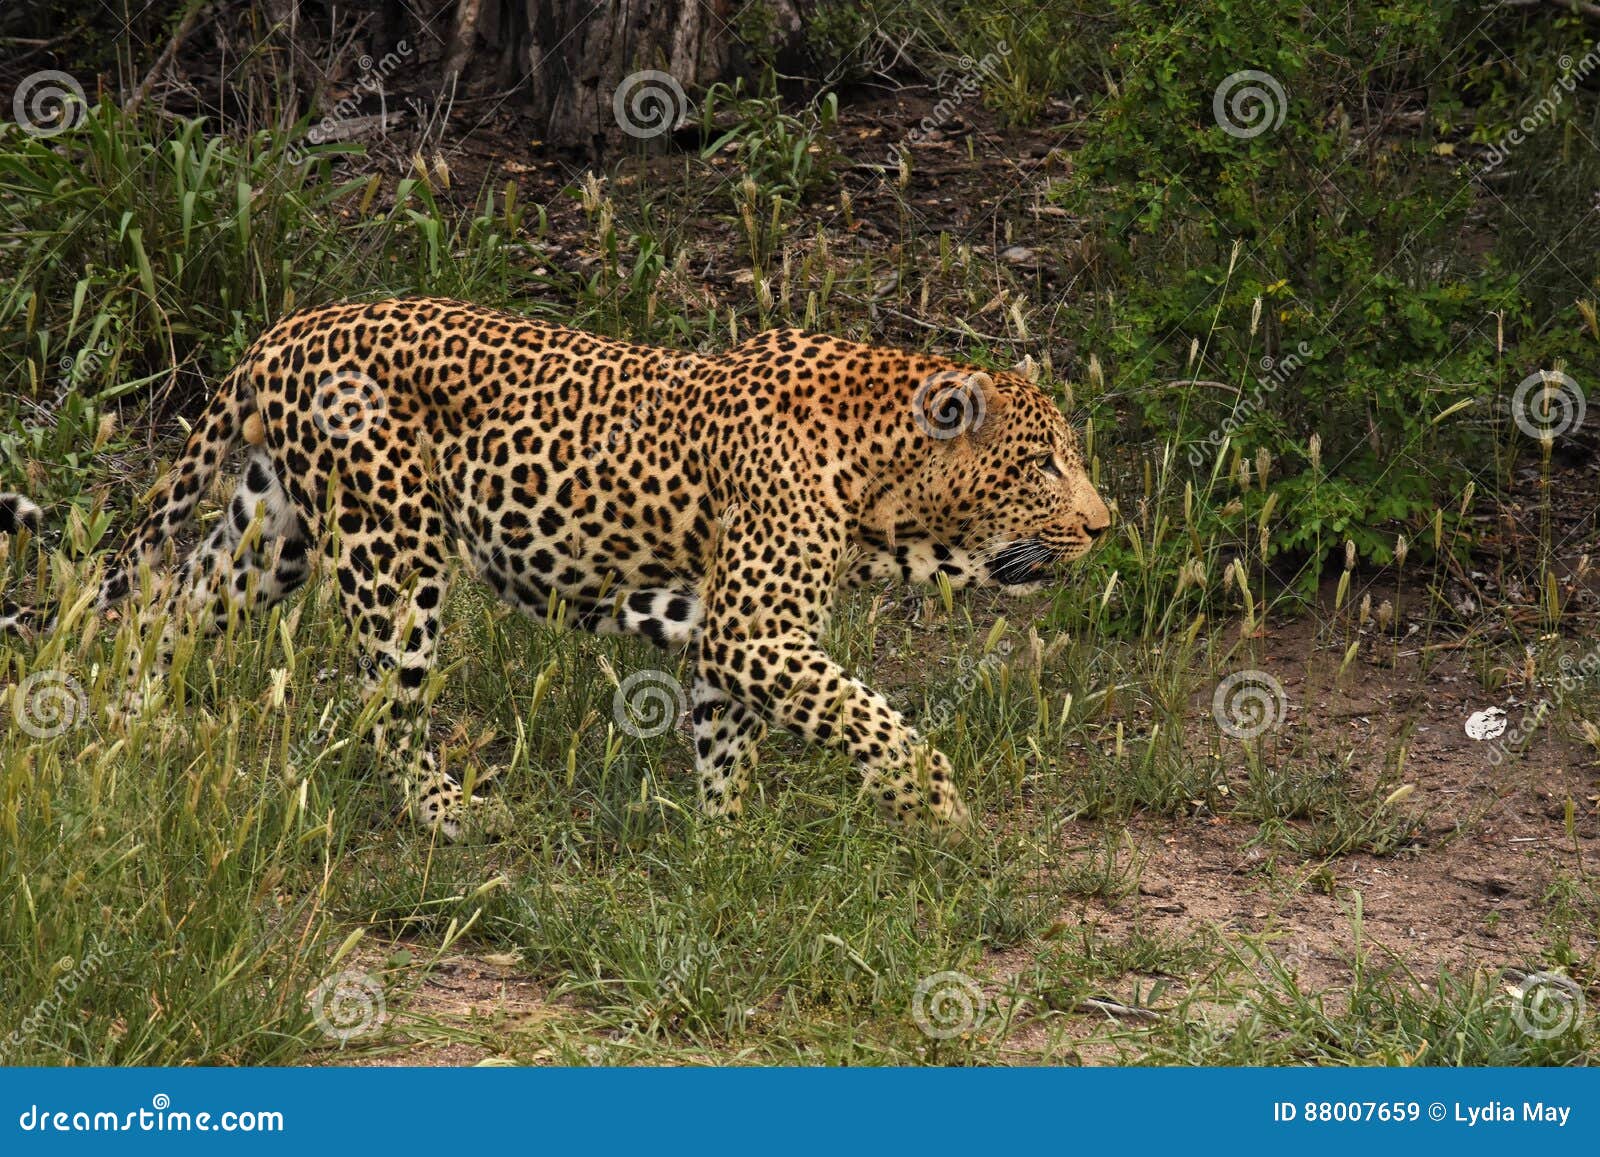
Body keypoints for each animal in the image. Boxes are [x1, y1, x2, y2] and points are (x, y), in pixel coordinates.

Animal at [0, 297, 1110, 839]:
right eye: (1043, 464)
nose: (1104, 528)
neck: (885, 478)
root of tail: (286, 329)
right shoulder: (756, 631)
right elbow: (882, 722)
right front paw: (946, 817)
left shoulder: (738, 639)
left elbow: (728, 743)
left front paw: (729, 846)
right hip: (394, 547)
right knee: (384, 698)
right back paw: (452, 818)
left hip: (272, 534)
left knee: (166, 612)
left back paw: (132, 731)